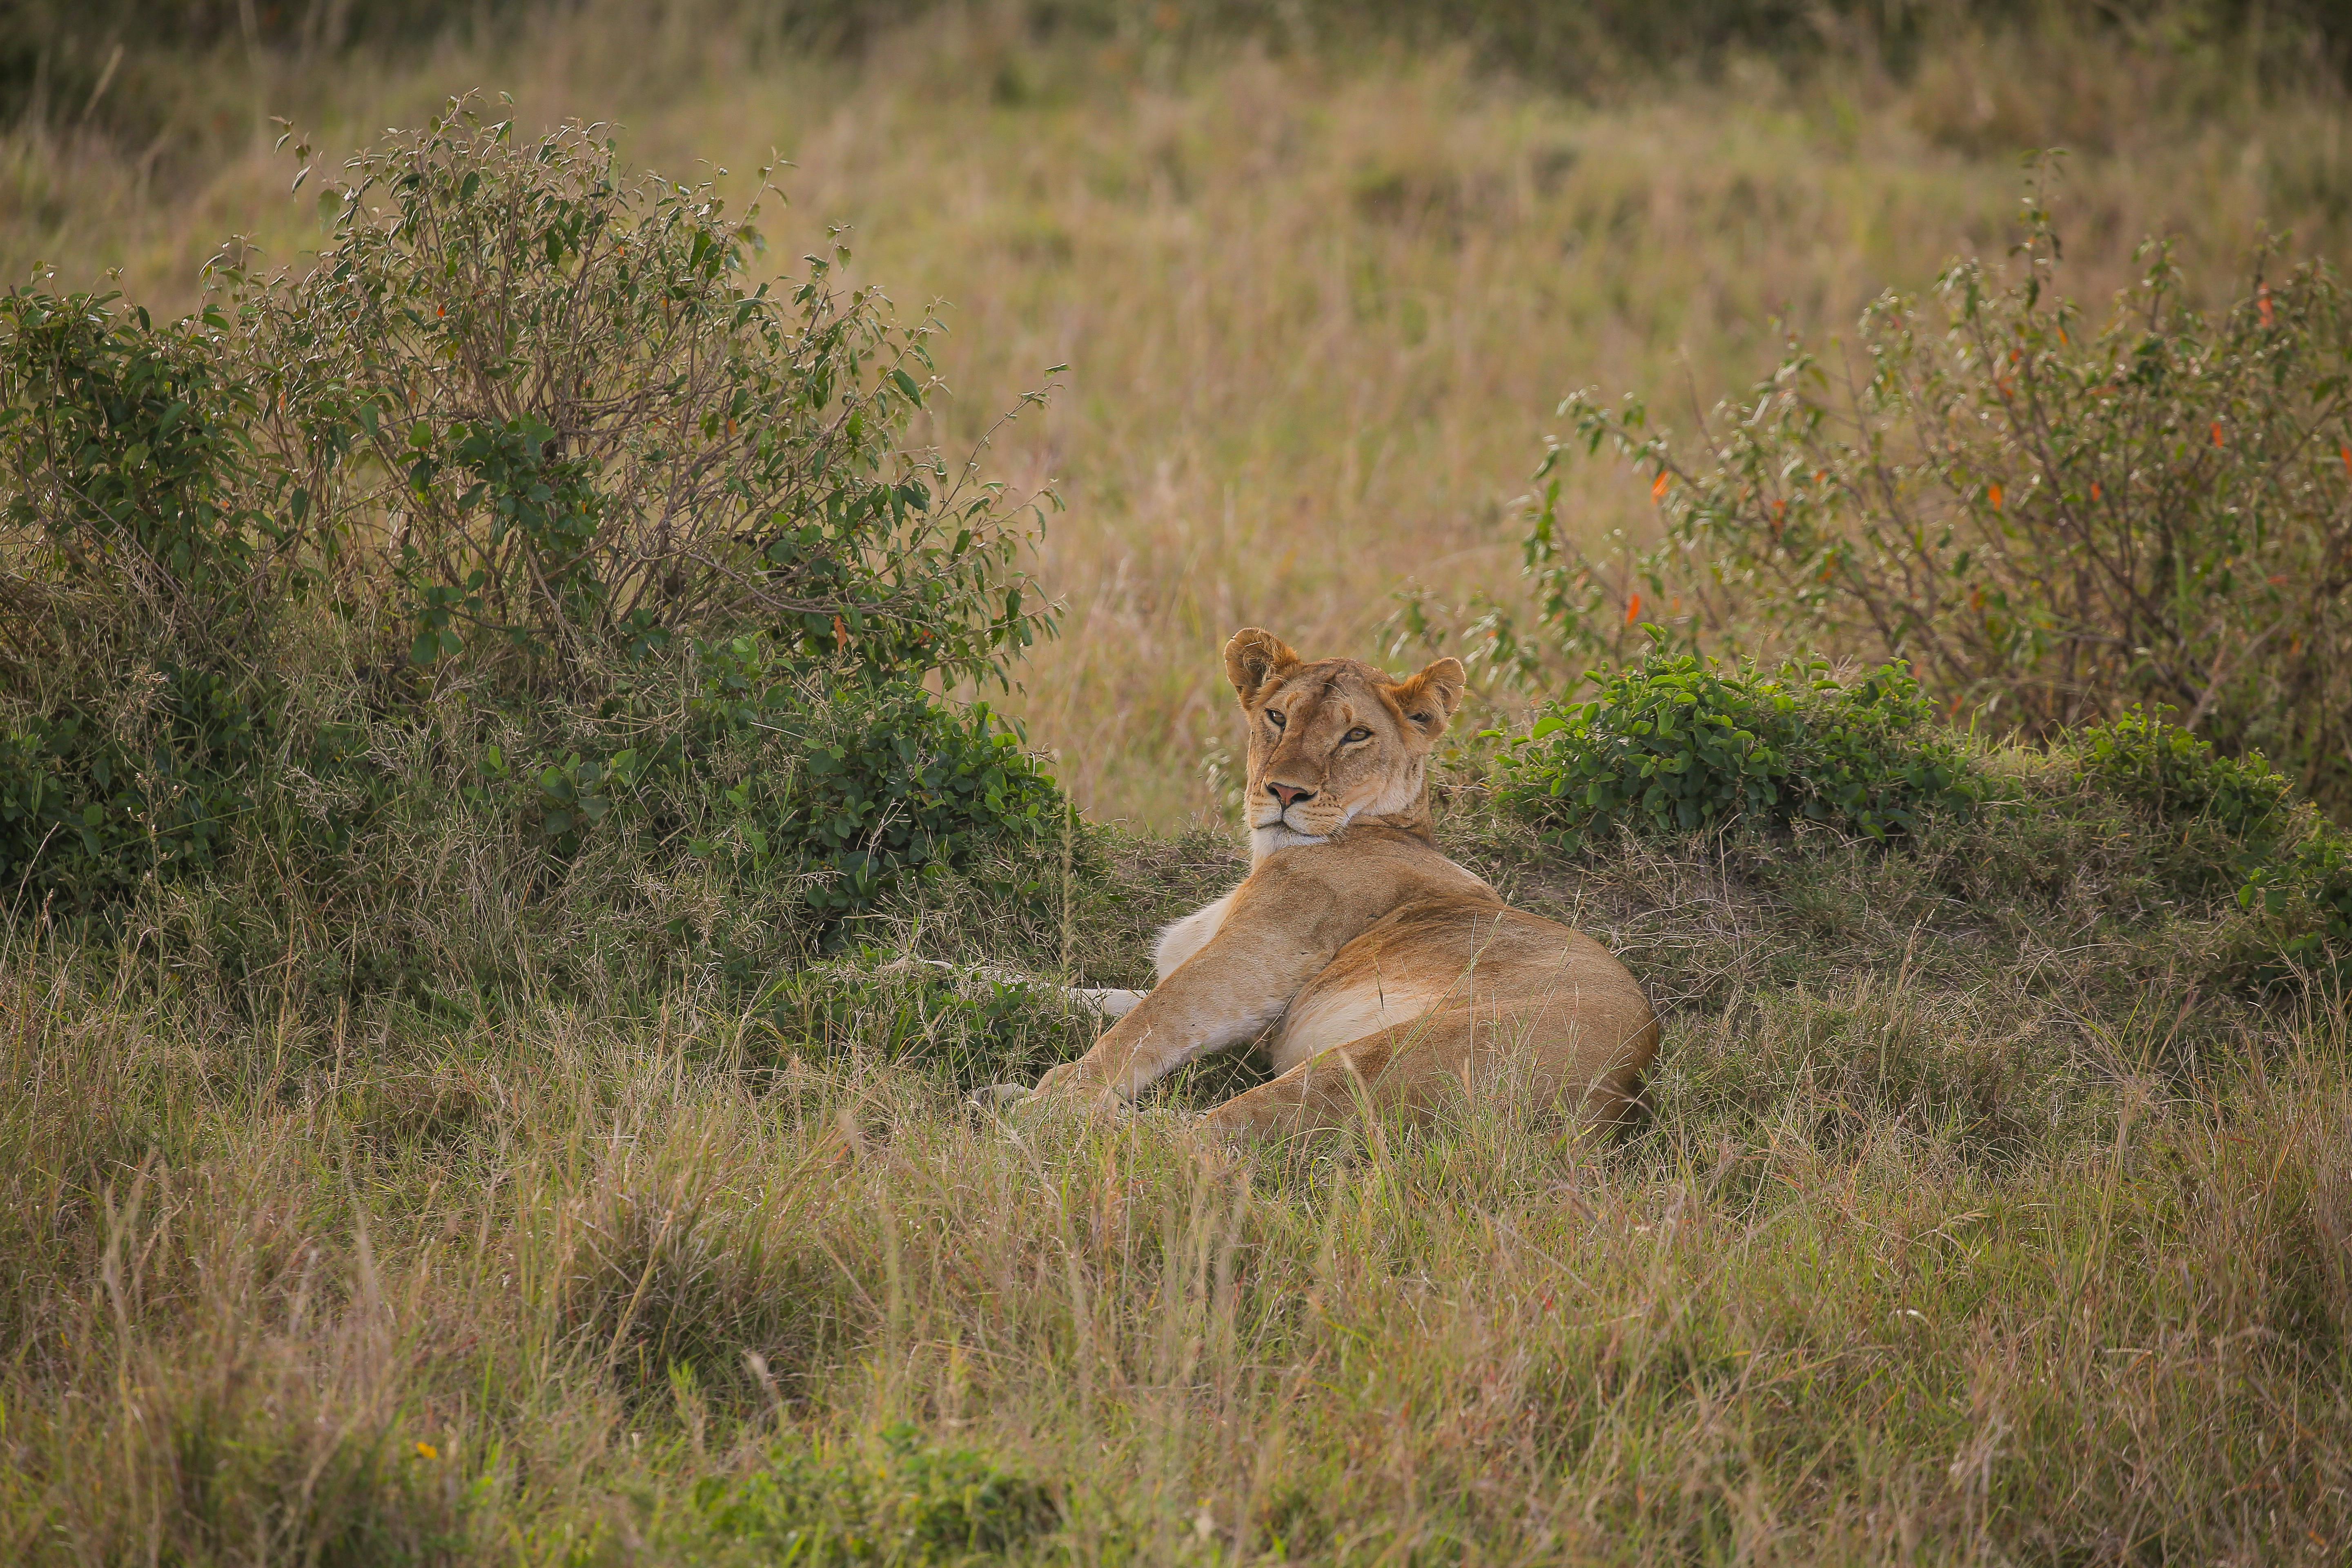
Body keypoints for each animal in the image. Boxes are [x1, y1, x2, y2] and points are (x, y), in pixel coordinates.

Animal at [1017, 627, 1659, 1137]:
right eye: (1278, 717)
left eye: (1356, 736)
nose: (1285, 791)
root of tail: (1620, 1106)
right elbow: (1092, 996)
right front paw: (993, 982)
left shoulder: (1261, 955)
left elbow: (1146, 1025)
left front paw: (1064, 1091)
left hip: (1374, 1062)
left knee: (1202, 1136)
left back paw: (1022, 1111)